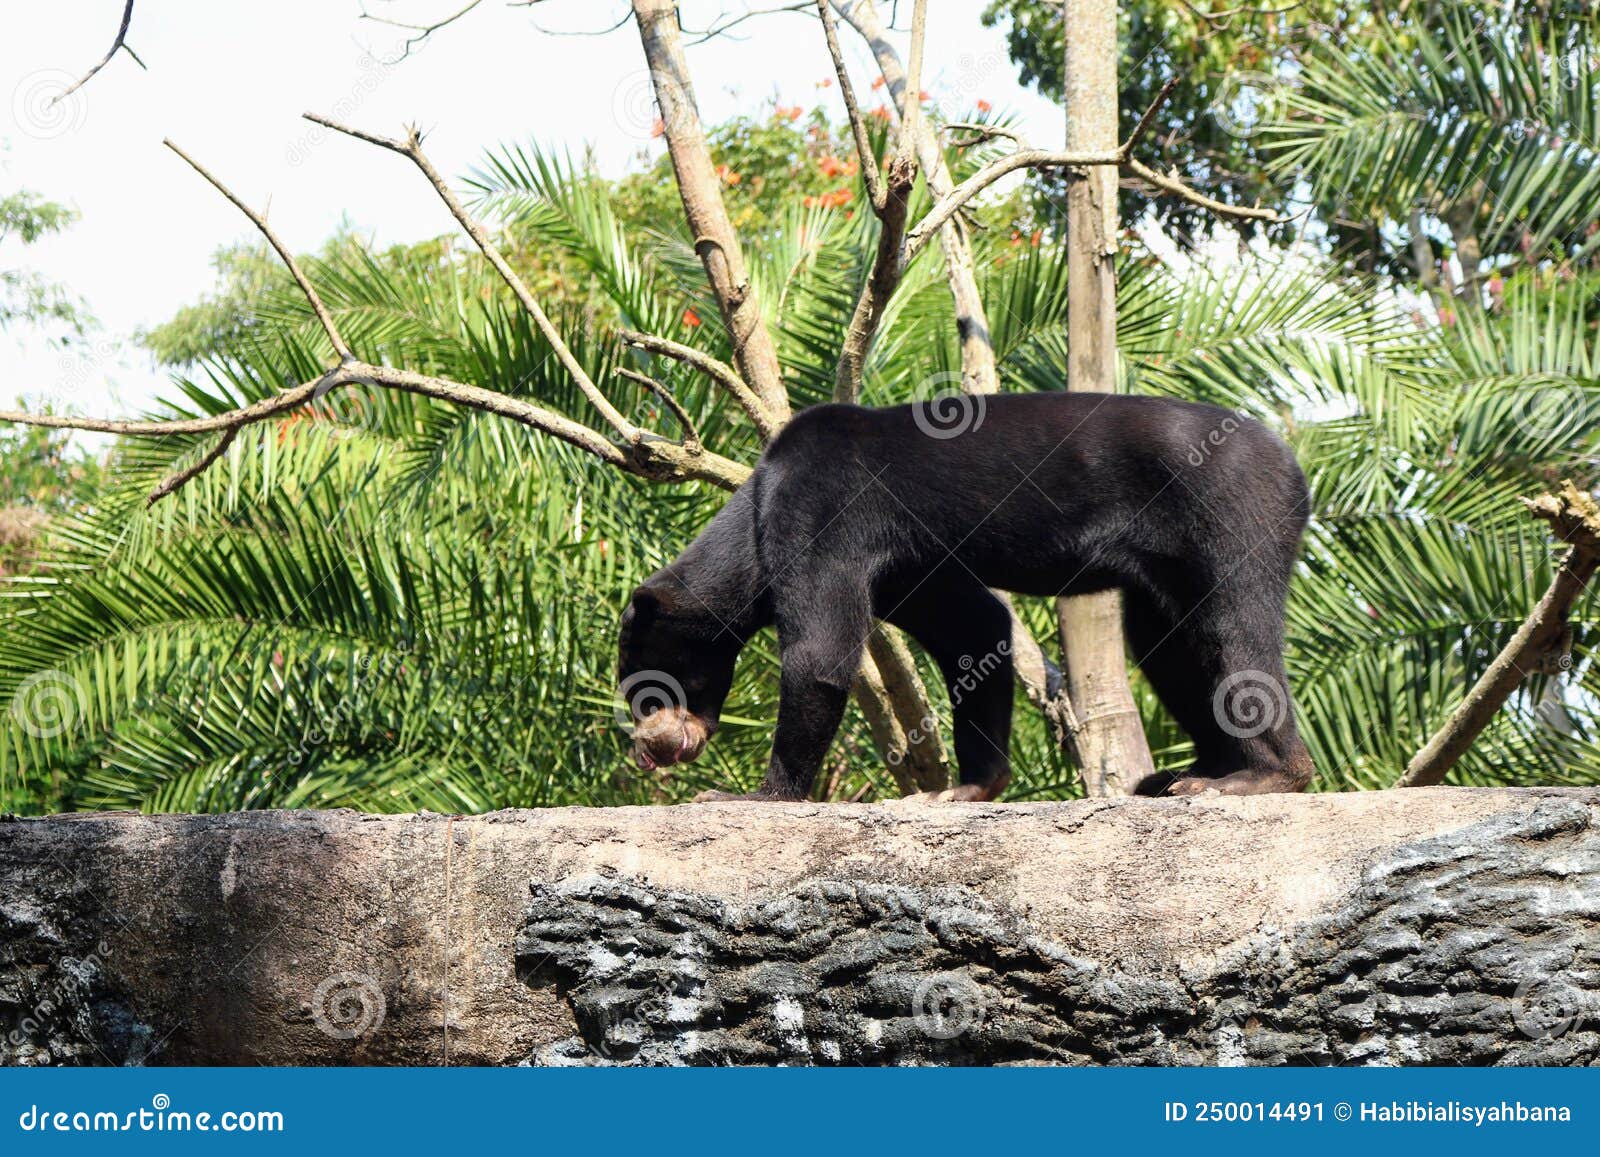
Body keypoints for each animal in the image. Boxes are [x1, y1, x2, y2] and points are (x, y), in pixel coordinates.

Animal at [617, 391, 1315, 802]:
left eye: (645, 695)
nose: (648, 752)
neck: (756, 512)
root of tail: (1292, 461)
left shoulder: (825, 511)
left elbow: (820, 654)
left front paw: (750, 798)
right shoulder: (909, 569)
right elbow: (975, 628)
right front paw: (963, 791)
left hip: (1230, 508)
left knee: (1234, 632)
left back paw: (1257, 778)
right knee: (1172, 646)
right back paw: (1186, 776)